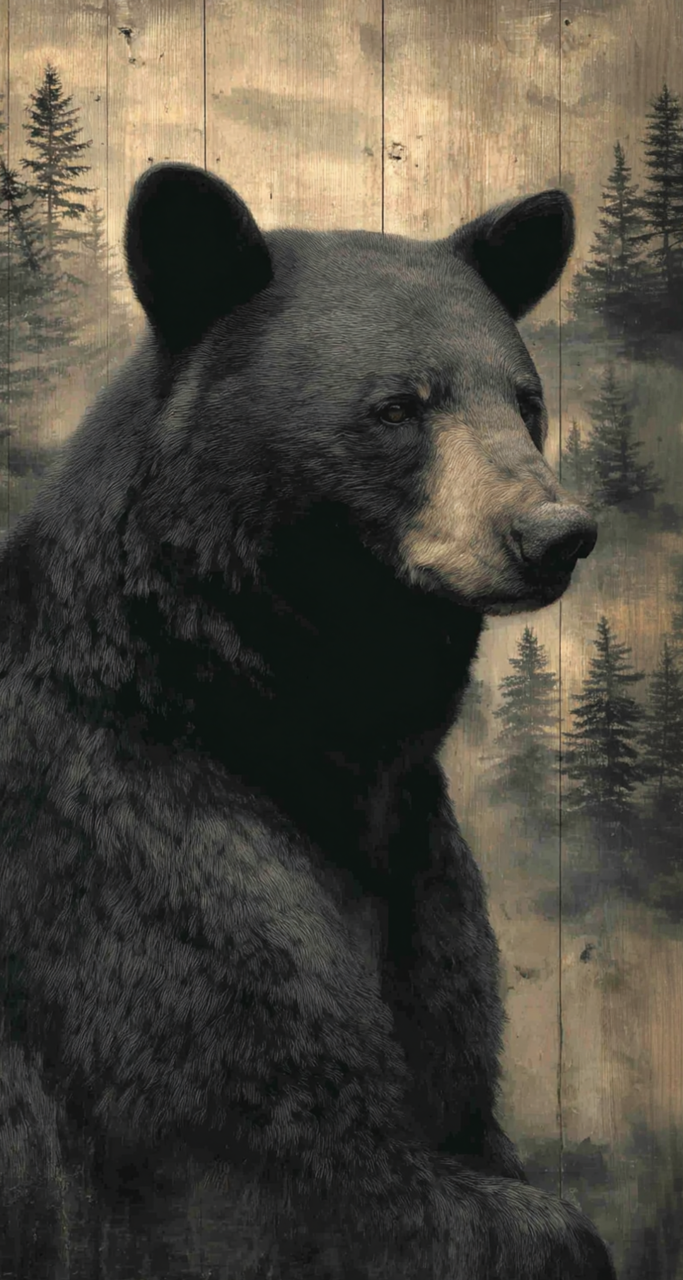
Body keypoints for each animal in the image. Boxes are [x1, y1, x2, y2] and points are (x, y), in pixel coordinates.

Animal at [0, 161, 615, 1279]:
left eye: (525, 401)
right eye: (398, 404)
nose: (554, 532)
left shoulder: (417, 868)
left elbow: (451, 1066)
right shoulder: (124, 857)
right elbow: (275, 1159)